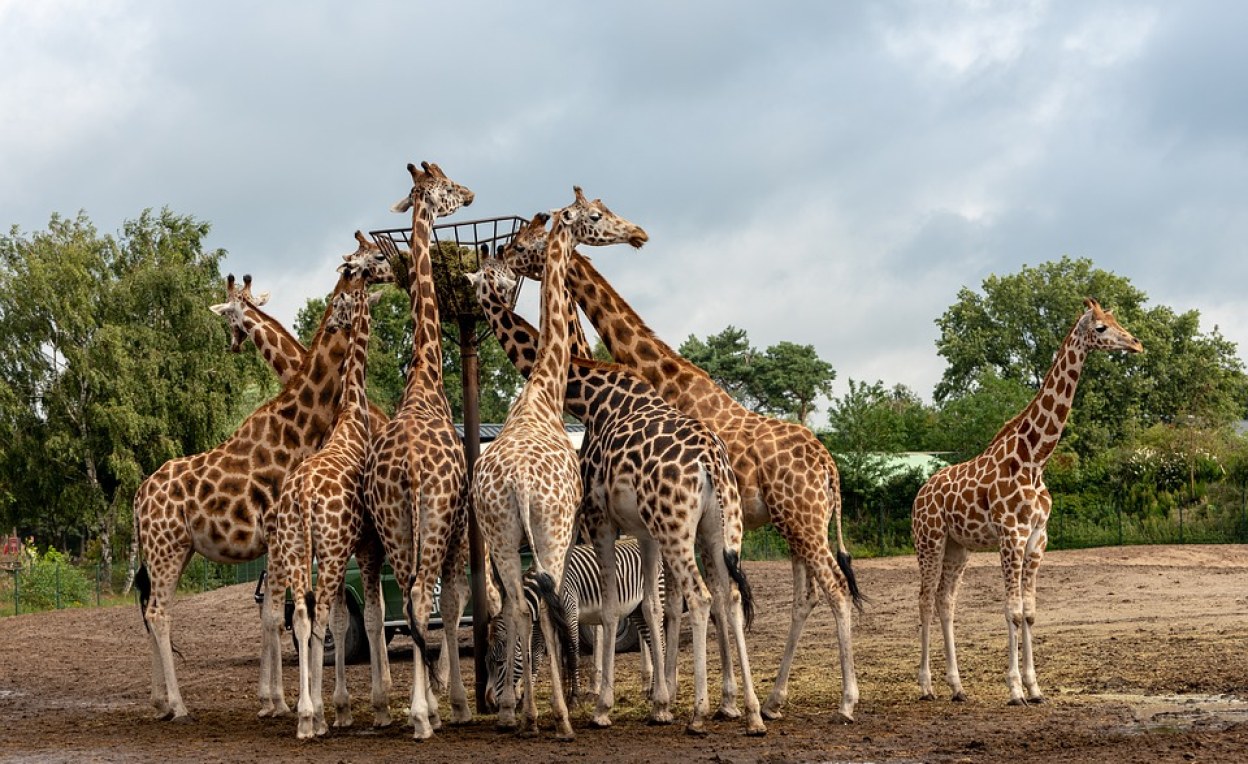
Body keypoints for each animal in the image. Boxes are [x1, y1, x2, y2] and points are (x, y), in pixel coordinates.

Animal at [133, 237, 392, 722]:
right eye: (363, 261)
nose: (389, 262)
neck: (300, 423)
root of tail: (139, 495)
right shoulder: (277, 534)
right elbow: (277, 613)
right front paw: (280, 702)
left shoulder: (278, 538)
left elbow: (274, 613)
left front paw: (277, 700)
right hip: (165, 548)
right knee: (157, 612)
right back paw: (176, 705)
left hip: (174, 550)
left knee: (155, 610)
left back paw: (162, 702)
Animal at [469, 248, 766, 736]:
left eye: (515, 257)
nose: (502, 262)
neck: (590, 396)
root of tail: (711, 463)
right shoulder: (641, 529)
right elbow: (647, 605)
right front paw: (659, 699)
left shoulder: (595, 516)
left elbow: (609, 608)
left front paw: (604, 704)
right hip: (718, 528)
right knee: (730, 597)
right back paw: (746, 709)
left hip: (675, 528)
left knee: (703, 598)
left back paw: (700, 713)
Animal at [470, 188, 647, 740]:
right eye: (595, 215)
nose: (639, 233)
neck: (542, 392)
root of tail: (518, 485)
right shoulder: (571, 524)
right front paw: (576, 698)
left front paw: (522, 706)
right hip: (549, 529)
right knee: (542, 606)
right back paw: (563, 716)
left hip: (501, 534)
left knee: (517, 607)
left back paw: (524, 714)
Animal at [500, 239, 865, 722]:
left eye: (525, 244)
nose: (501, 253)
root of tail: (830, 468)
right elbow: (697, 602)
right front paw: (703, 697)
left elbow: (691, 603)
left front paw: (691, 697)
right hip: (802, 525)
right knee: (806, 597)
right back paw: (773, 701)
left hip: (800, 522)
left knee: (835, 590)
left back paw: (845, 701)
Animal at [913, 297, 1143, 705]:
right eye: (1100, 327)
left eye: (1116, 320)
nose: (1136, 343)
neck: (1035, 459)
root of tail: (920, 494)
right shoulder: (1011, 536)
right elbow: (1013, 611)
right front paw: (1015, 688)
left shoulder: (1038, 539)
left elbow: (1031, 612)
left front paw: (1035, 688)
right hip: (930, 539)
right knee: (924, 599)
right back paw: (926, 686)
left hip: (959, 546)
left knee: (945, 601)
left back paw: (957, 687)